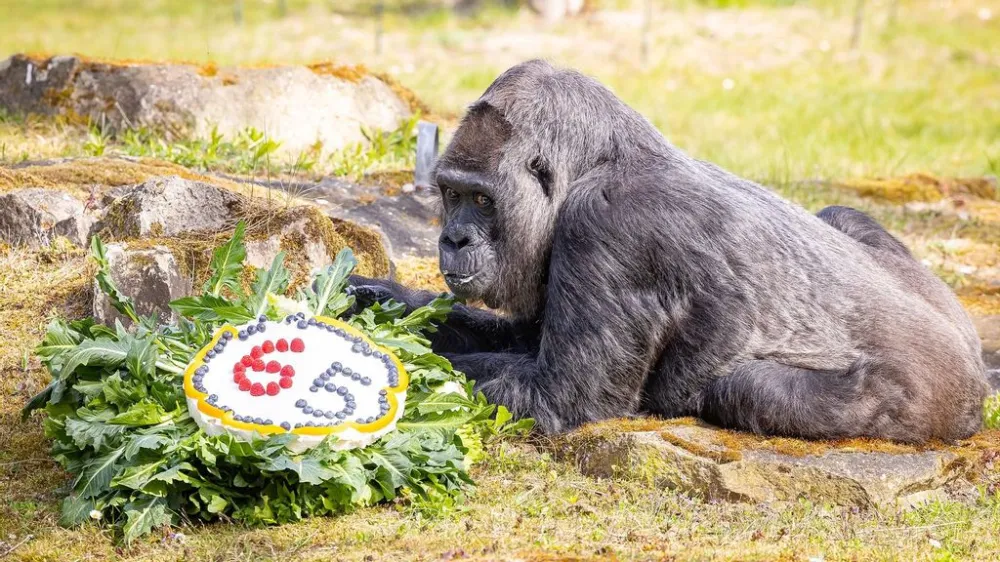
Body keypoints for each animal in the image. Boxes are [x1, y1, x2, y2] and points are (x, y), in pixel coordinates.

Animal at [347, 59, 989, 443]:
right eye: (450, 194)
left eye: (481, 201)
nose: (452, 237)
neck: (601, 157)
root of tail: (980, 376)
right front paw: (378, 303)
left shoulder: (610, 225)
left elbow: (559, 398)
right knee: (840, 216)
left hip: (933, 399)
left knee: (743, 389)